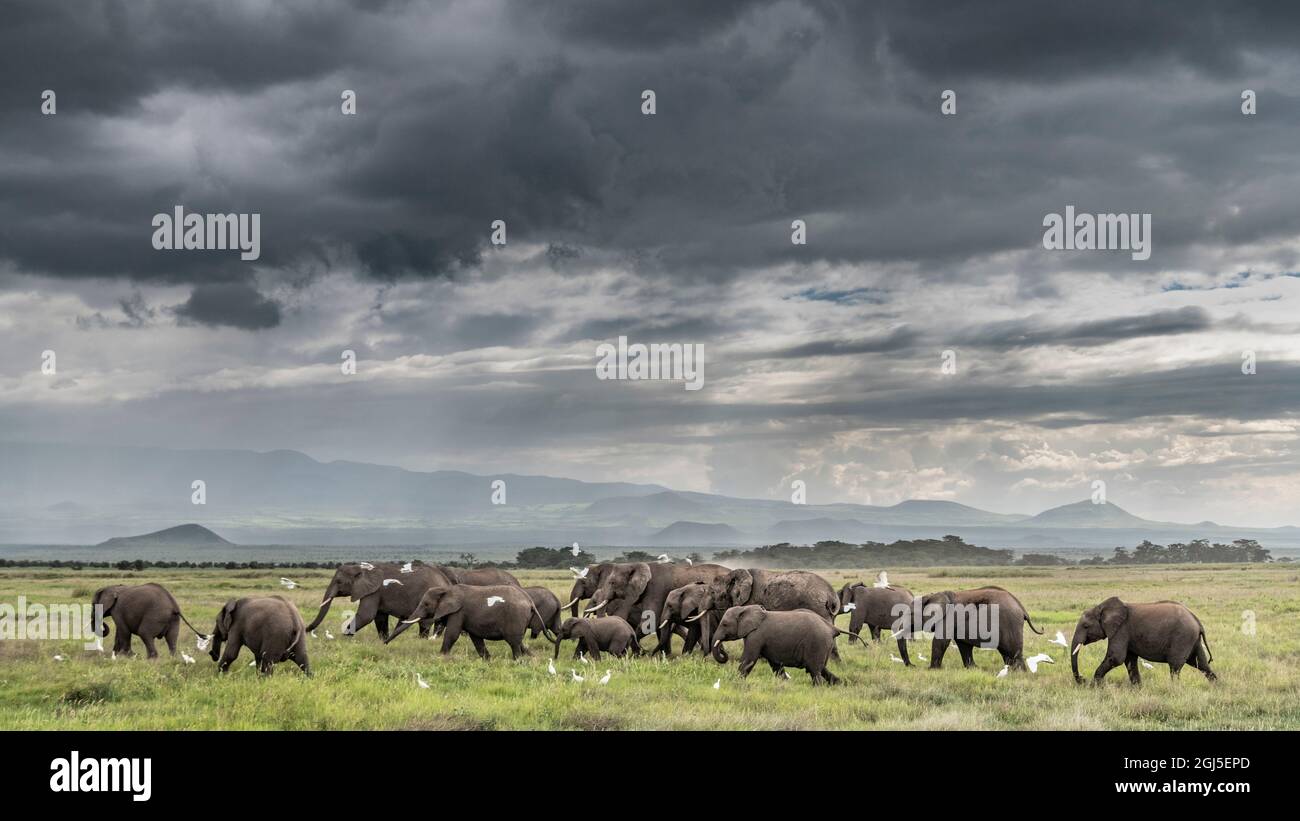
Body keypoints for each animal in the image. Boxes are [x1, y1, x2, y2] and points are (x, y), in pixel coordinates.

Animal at [305, 561, 453, 640]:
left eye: (339, 582)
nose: (307, 630)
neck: (361, 568)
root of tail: (446, 581)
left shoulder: (373, 592)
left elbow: (366, 616)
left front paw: (344, 638)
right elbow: (379, 618)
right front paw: (383, 641)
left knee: (425, 623)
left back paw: (422, 640)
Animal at [384, 584, 558, 660]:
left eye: (426, 604)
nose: (384, 644)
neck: (447, 589)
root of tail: (530, 602)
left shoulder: (458, 612)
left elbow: (452, 634)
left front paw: (441, 657)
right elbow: (476, 638)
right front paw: (487, 660)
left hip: (515, 616)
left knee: (514, 642)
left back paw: (518, 661)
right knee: (519, 642)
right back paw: (532, 658)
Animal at [711, 605, 865, 685]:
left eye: (724, 624)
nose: (723, 651)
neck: (745, 608)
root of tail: (831, 627)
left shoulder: (755, 636)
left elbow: (748, 659)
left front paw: (735, 682)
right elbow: (775, 664)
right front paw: (785, 682)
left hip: (817, 643)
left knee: (815, 671)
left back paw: (818, 688)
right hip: (824, 644)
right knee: (822, 669)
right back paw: (839, 684)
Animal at [1070, 597, 1216, 685]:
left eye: (1085, 626)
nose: (1082, 679)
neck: (1100, 607)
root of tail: (1196, 620)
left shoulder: (1121, 630)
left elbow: (1116, 658)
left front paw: (1094, 686)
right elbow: (1129, 660)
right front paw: (1137, 689)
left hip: (1183, 637)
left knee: (1175, 666)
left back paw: (1174, 688)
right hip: (1193, 639)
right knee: (1201, 663)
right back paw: (1216, 686)